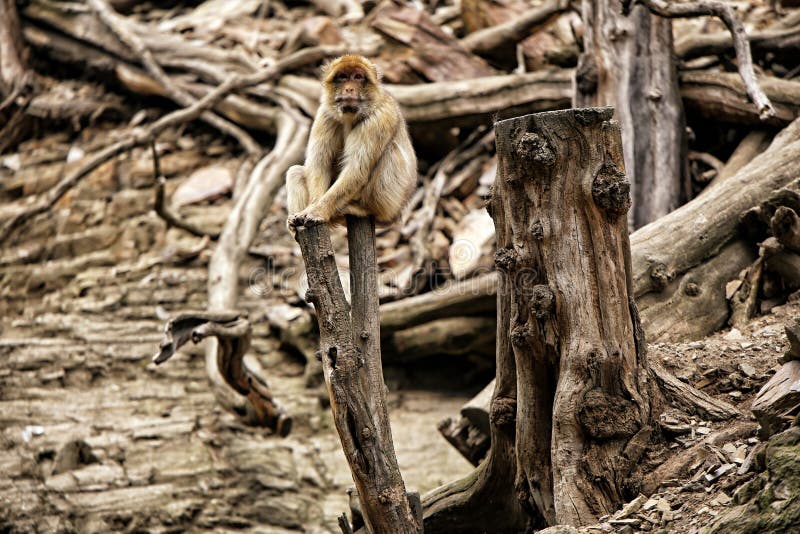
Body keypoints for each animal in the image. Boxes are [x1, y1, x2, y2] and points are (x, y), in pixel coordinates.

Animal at [286, 55, 417, 230]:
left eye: (358, 77)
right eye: (343, 77)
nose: (349, 89)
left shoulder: (379, 118)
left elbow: (356, 169)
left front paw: (317, 211)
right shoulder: (326, 115)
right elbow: (320, 163)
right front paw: (311, 207)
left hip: (391, 205)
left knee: (391, 151)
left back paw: (364, 209)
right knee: (295, 171)